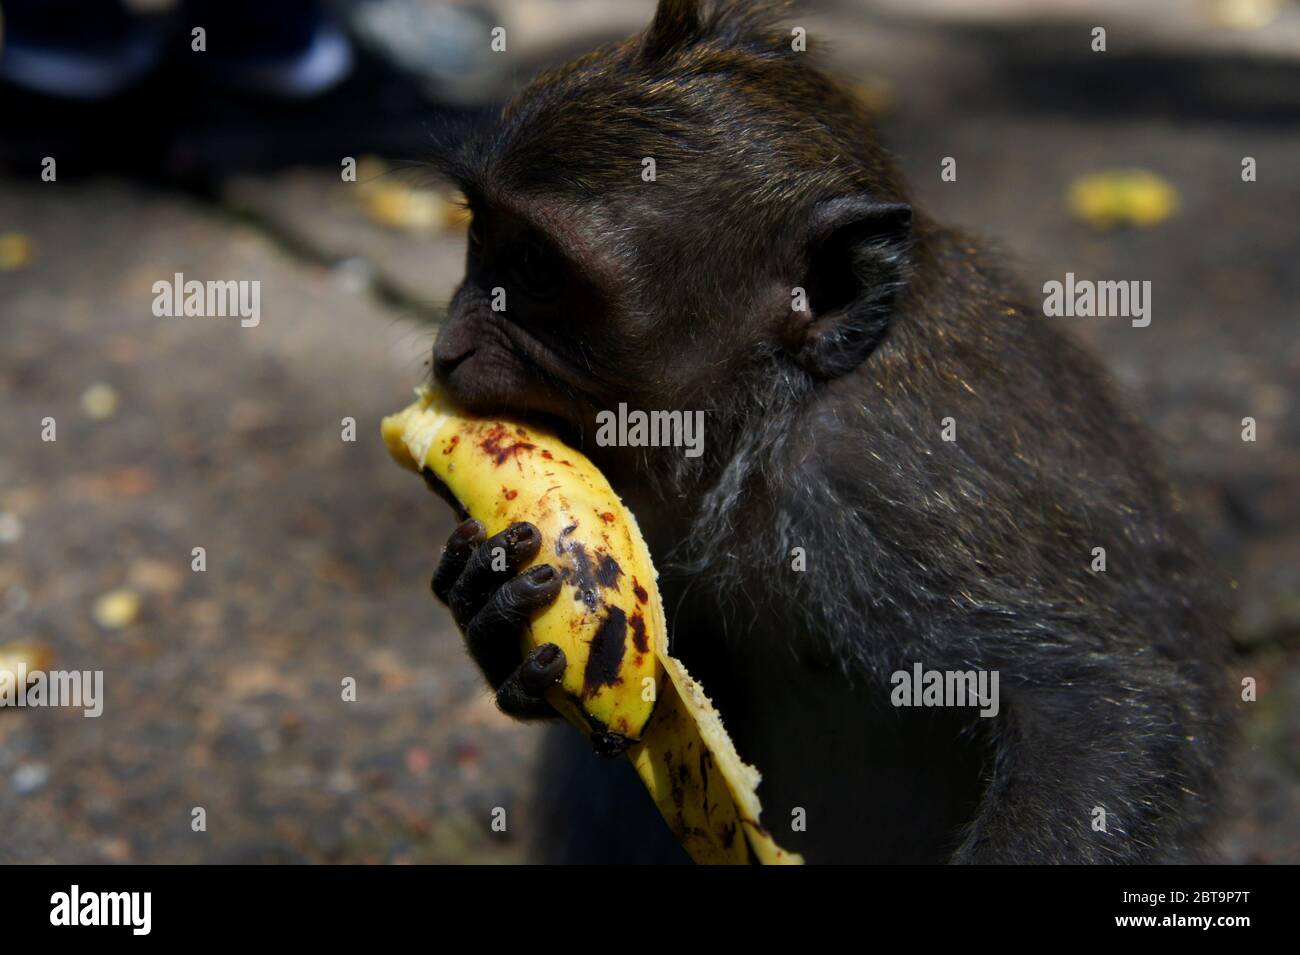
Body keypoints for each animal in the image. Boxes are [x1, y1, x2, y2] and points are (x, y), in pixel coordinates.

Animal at [423, 0, 1231, 864]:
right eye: (480, 239)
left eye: (539, 271)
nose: (449, 347)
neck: (766, 417)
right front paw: (489, 610)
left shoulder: (880, 487)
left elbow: (1101, 713)